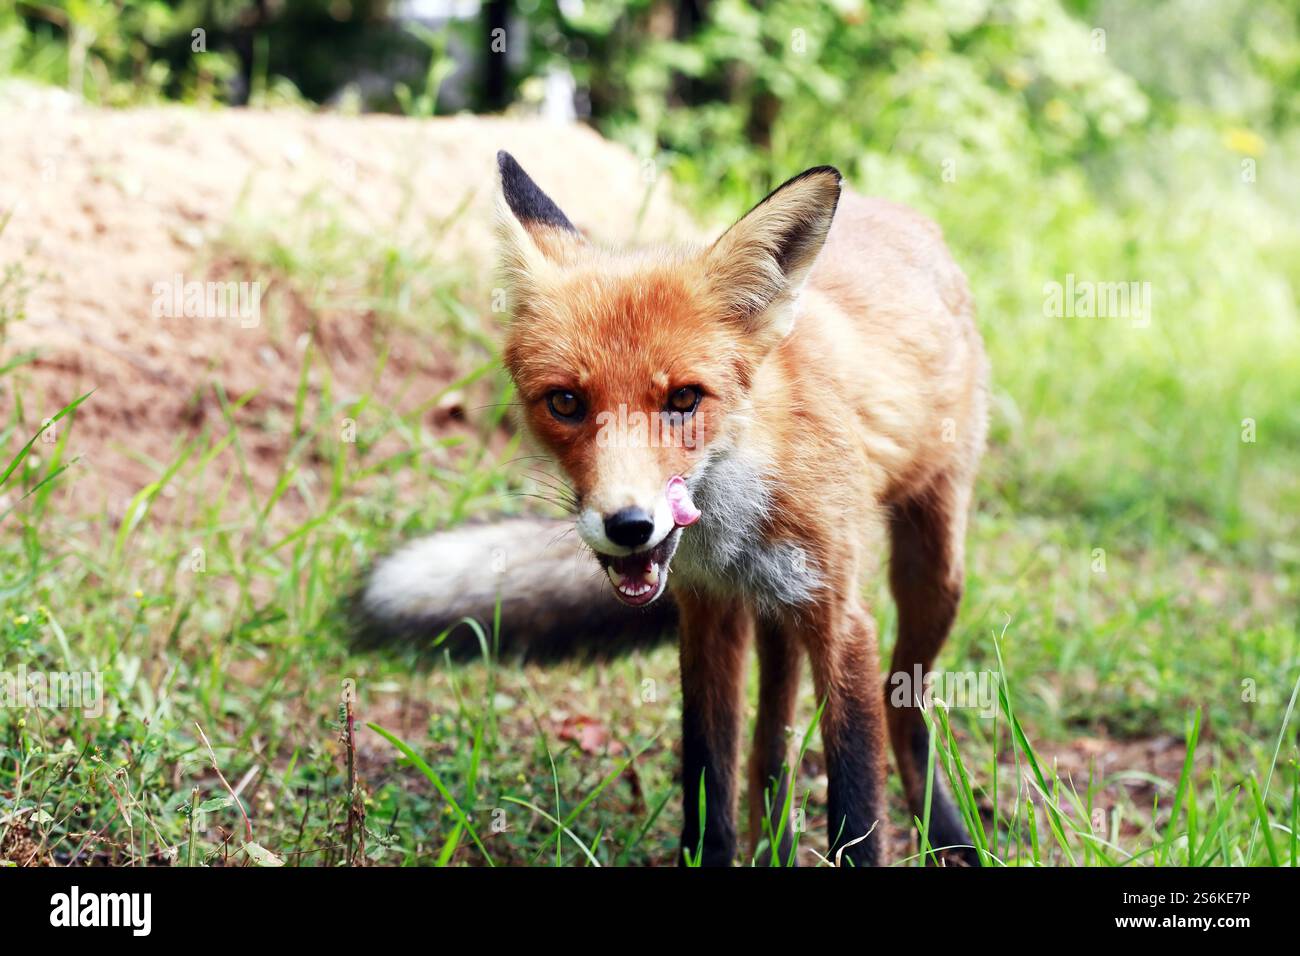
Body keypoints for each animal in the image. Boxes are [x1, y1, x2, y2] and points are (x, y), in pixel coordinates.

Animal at [355, 151, 989, 867]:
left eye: (684, 398)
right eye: (566, 402)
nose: (629, 527)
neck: (737, 515)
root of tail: (908, 216)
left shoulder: (841, 618)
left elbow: (856, 804)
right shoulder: (707, 609)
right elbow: (708, 776)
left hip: (932, 575)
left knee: (903, 711)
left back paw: (949, 833)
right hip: (775, 614)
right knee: (769, 748)